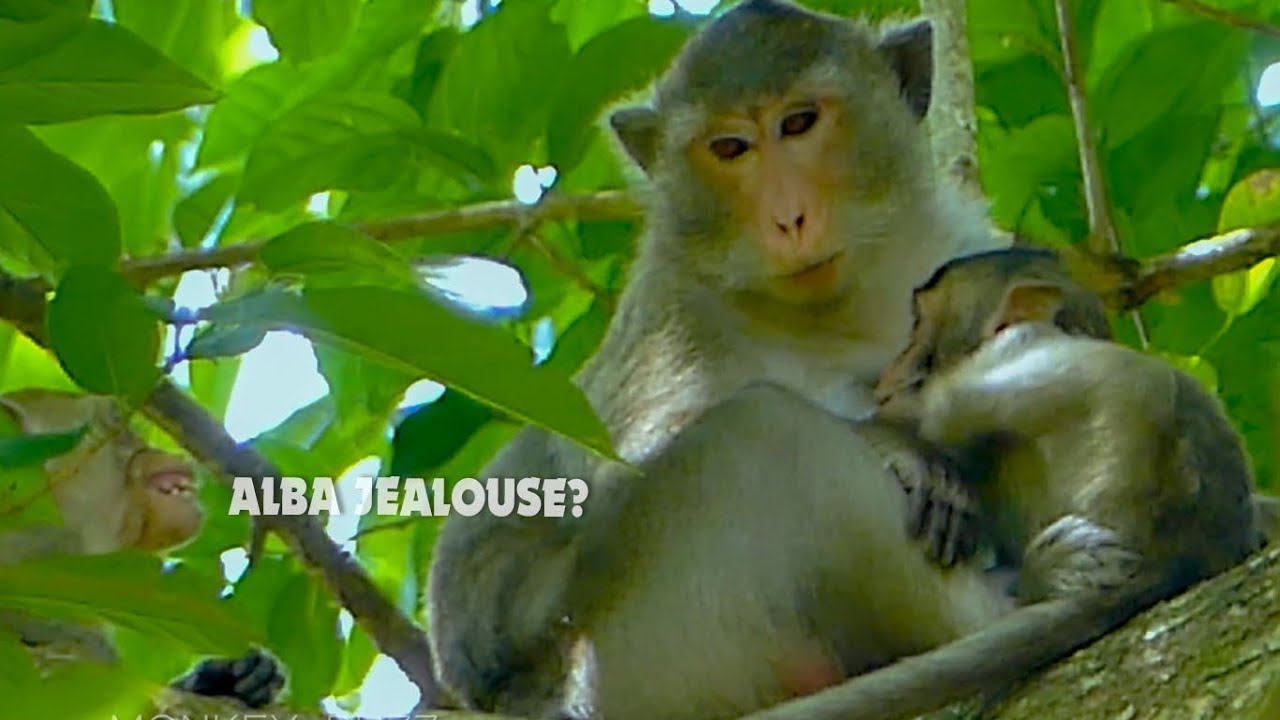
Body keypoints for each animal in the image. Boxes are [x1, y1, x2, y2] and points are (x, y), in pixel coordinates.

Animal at [425, 2, 1016, 718]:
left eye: (799, 123)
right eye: (730, 148)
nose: (790, 218)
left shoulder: (960, 248)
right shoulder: (676, 330)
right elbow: (597, 482)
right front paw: (903, 451)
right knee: (764, 431)